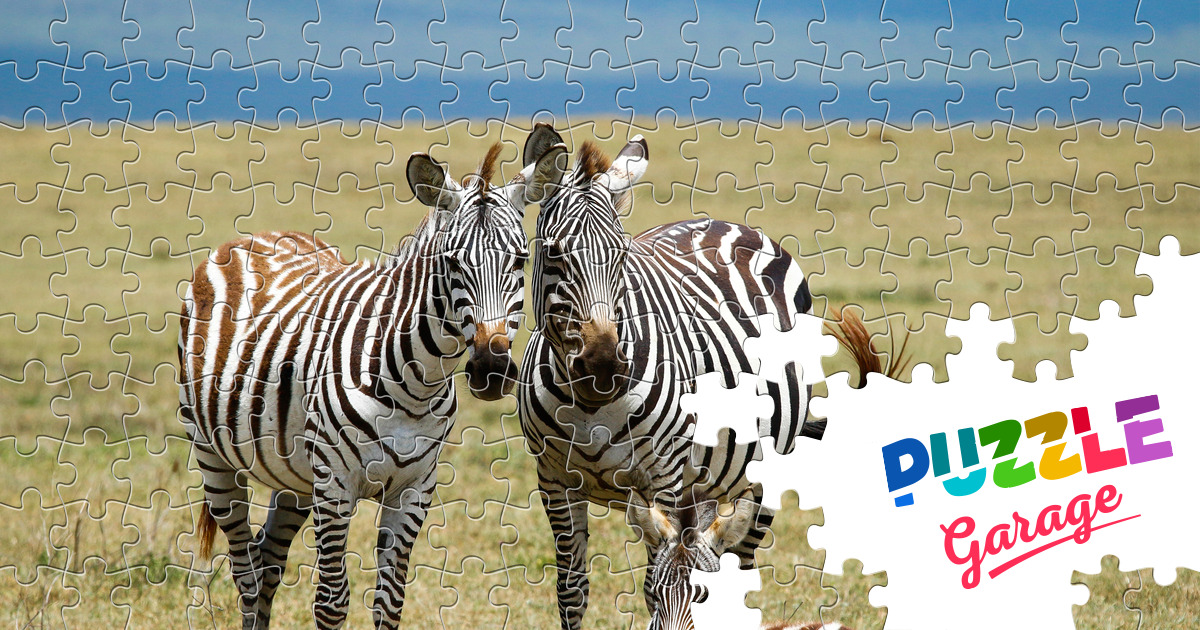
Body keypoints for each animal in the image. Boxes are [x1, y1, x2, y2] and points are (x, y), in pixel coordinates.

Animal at [178, 139, 566, 629]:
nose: (490, 368)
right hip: (212, 455)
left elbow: (390, 600)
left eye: (520, 260)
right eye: (452, 263)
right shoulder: (335, 483)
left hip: (294, 474)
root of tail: (254, 236)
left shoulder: (413, 489)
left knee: (267, 560)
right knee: (244, 568)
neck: (414, 384)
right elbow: (331, 600)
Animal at [516, 124, 816, 629]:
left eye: (621, 255)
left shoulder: (665, 479)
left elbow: (667, 579)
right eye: (554, 254)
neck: (591, 405)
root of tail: (724, 223)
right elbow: (572, 591)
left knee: (743, 560)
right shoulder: (554, 480)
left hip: (768, 465)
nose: (603, 365)